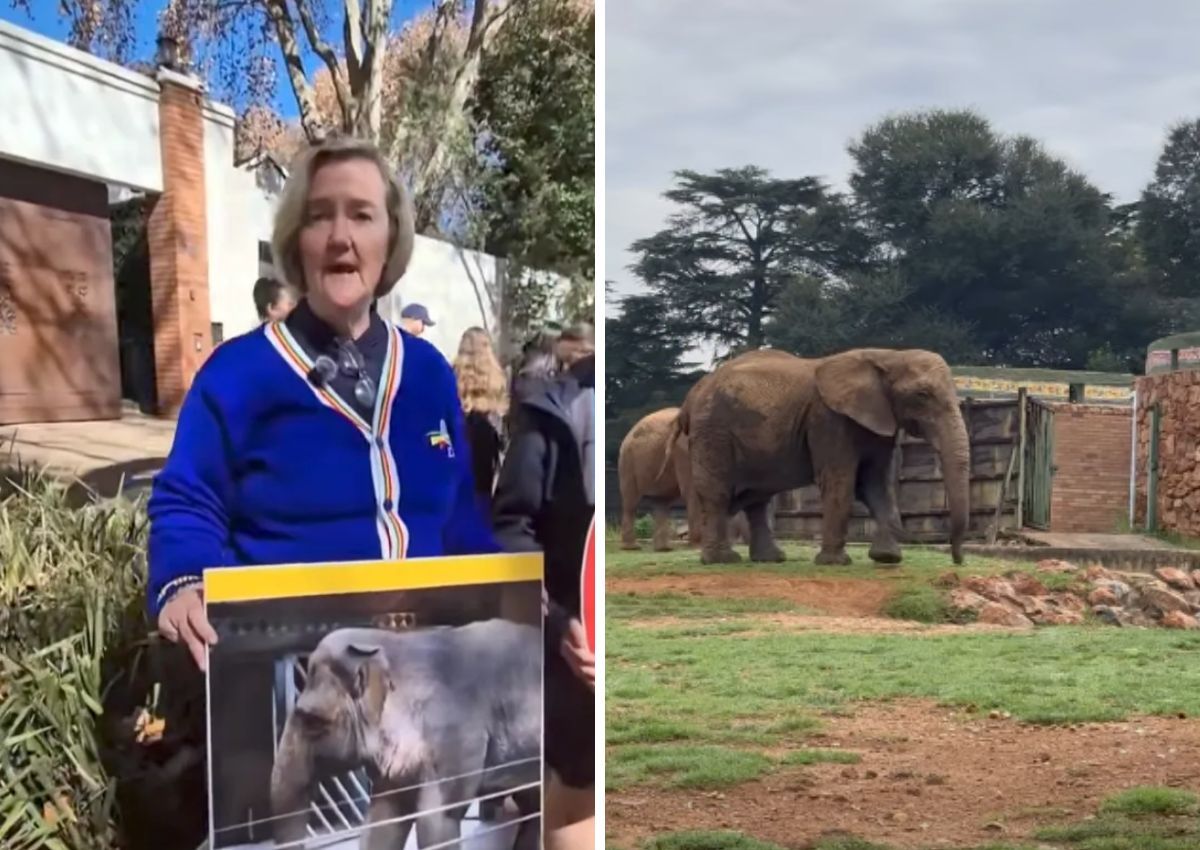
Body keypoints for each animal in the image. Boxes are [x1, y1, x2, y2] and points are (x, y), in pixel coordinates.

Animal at [618, 406, 752, 551]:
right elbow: (694, 491)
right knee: (631, 502)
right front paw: (700, 546)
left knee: (661, 502)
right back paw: (632, 547)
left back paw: (664, 549)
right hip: (628, 462)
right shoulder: (684, 453)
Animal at [670, 347, 969, 567]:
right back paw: (722, 560)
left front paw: (887, 557)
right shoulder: (828, 419)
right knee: (717, 494)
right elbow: (841, 481)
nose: (958, 561)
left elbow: (877, 484)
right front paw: (835, 563)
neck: (888, 355)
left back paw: (770, 559)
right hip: (713, 432)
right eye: (922, 395)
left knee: (758, 498)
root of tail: (691, 397)